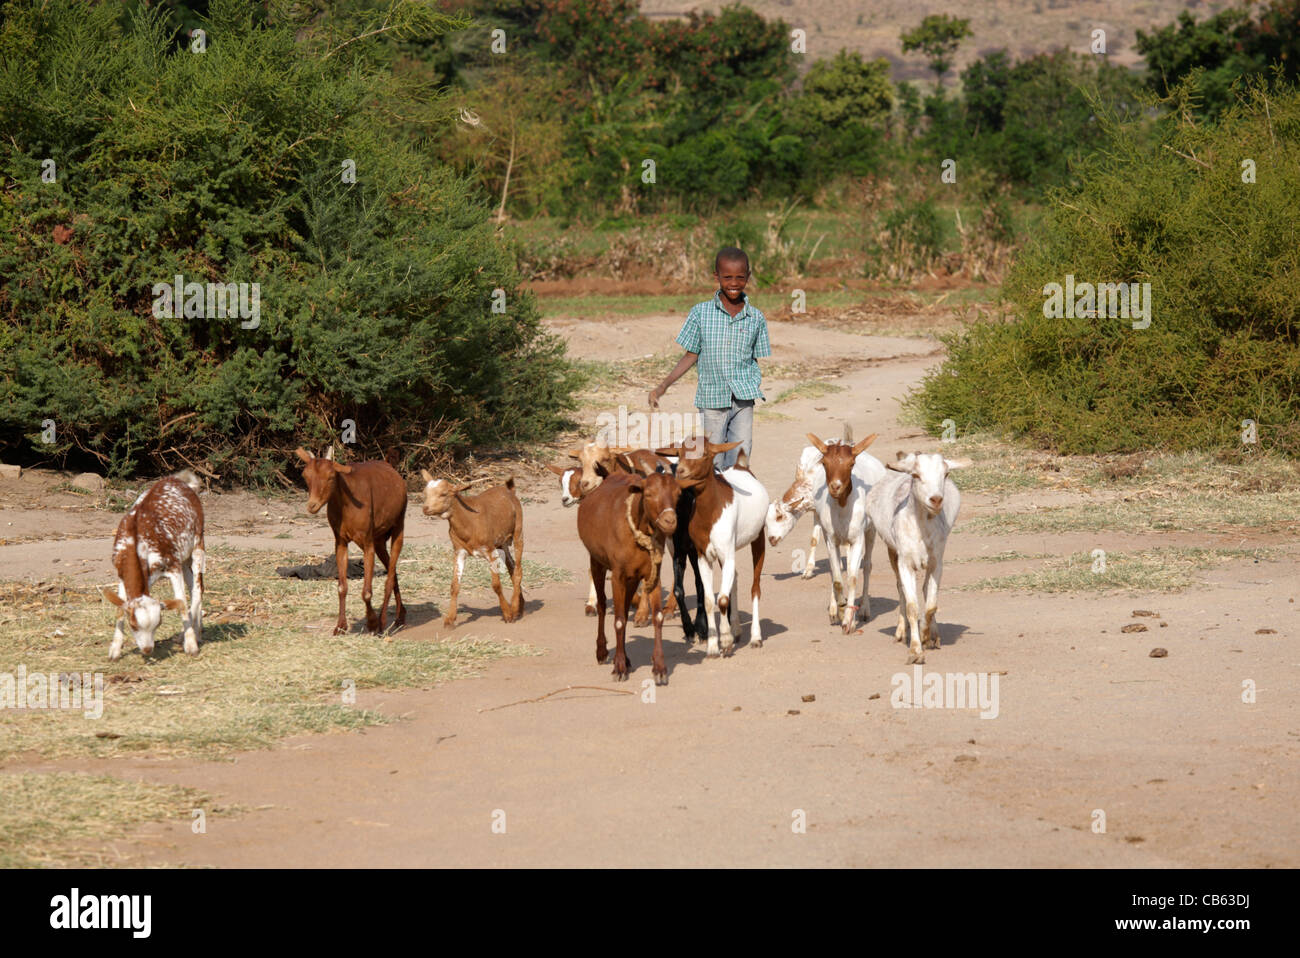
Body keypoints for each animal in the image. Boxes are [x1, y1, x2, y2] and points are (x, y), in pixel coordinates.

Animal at [104, 471, 205, 660]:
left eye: (158, 624)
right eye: (133, 625)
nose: (147, 649)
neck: (137, 541)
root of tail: (179, 479)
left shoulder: (173, 566)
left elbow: (181, 603)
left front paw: (191, 646)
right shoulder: (121, 574)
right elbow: (119, 609)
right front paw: (115, 650)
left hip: (198, 544)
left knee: (198, 589)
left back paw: (189, 635)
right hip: (185, 558)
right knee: (192, 585)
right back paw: (197, 632)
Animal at [296, 446, 406, 635]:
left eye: (331, 476)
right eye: (305, 476)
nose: (312, 506)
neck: (347, 504)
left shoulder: (367, 543)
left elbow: (367, 592)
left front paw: (372, 622)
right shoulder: (340, 542)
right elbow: (342, 587)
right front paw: (340, 626)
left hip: (398, 526)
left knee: (390, 577)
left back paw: (385, 621)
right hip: (379, 541)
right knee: (393, 572)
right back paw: (401, 615)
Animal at [421, 473, 524, 628]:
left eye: (444, 494)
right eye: (426, 493)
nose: (425, 508)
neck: (469, 522)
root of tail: (509, 491)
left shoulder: (489, 551)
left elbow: (496, 585)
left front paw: (507, 614)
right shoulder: (459, 551)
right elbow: (454, 585)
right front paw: (450, 619)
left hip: (518, 532)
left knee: (518, 570)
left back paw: (515, 608)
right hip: (502, 543)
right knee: (511, 566)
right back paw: (519, 606)